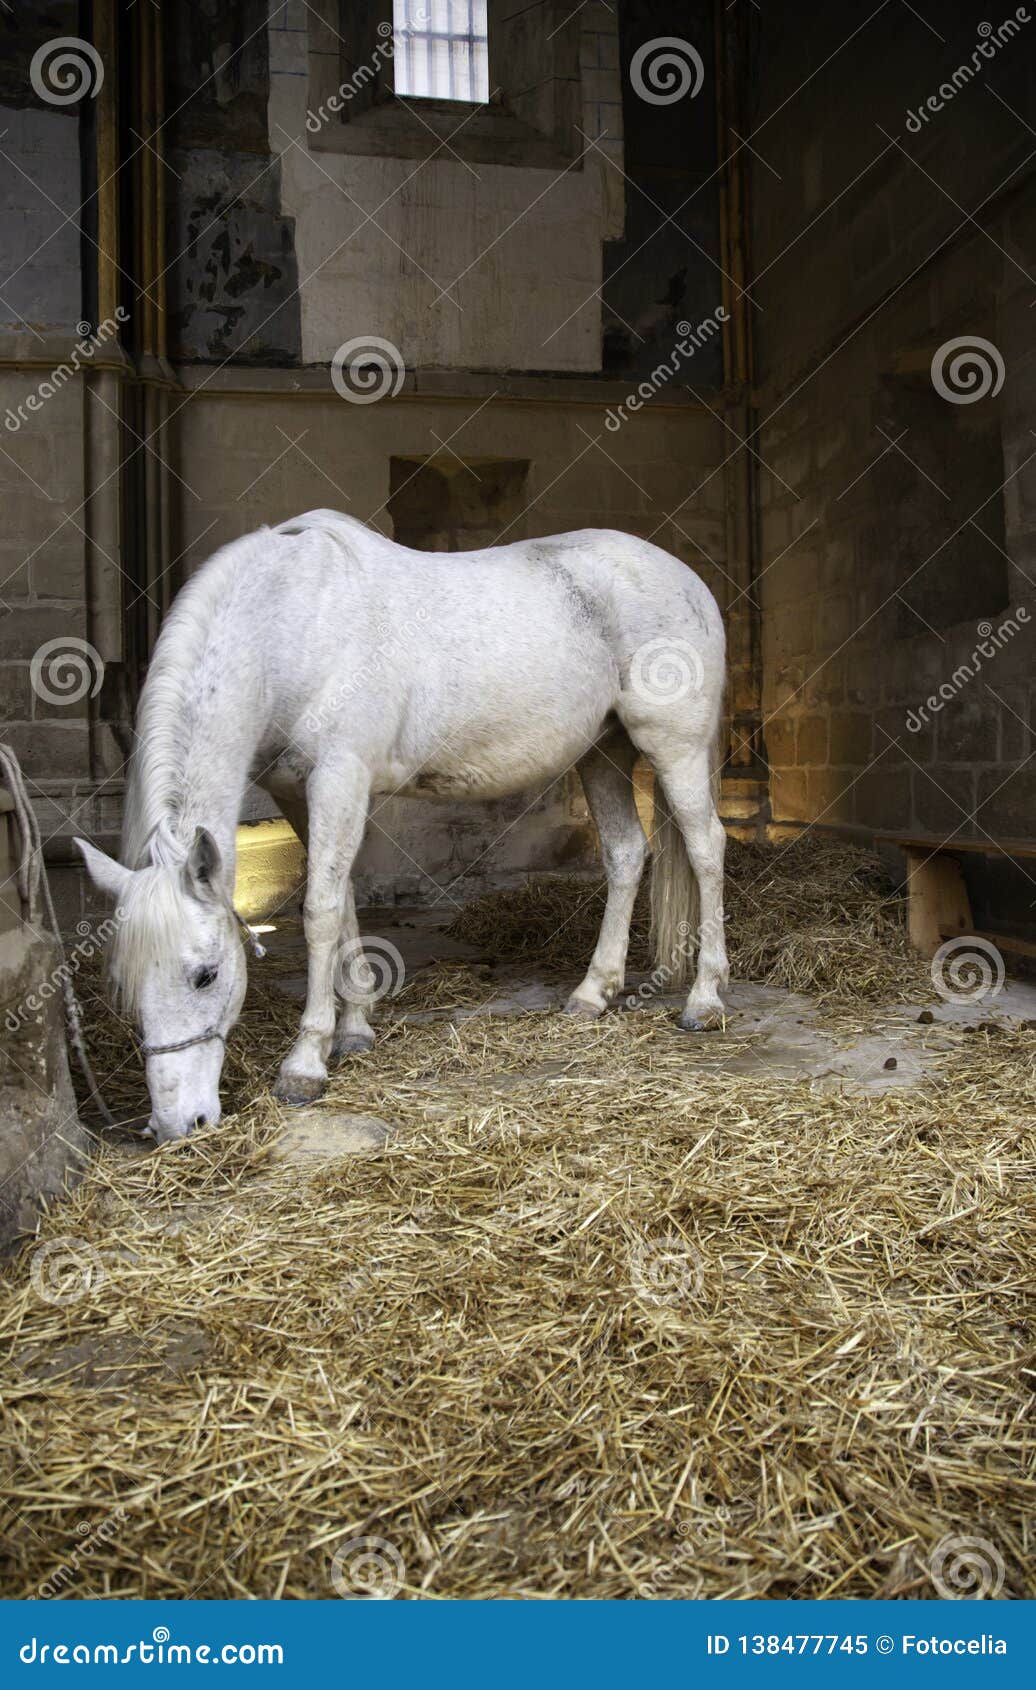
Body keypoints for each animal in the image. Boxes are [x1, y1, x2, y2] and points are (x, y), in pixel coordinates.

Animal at [76, 511, 728, 1144]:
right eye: (123, 983)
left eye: (206, 976)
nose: (174, 1126)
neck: (291, 623)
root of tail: (689, 580)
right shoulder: (297, 791)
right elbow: (340, 898)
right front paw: (354, 1028)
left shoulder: (339, 775)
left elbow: (318, 911)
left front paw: (305, 1063)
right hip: (603, 752)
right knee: (625, 853)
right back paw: (594, 992)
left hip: (674, 748)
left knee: (706, 850)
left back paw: (704, 1001)